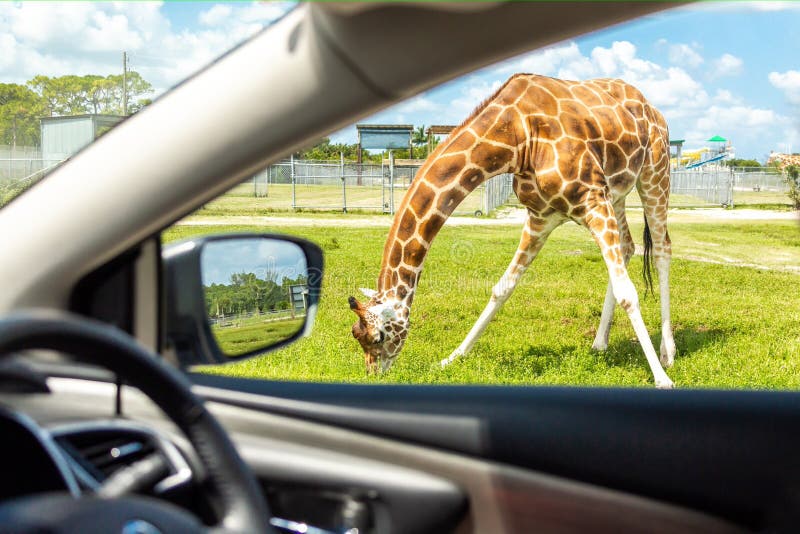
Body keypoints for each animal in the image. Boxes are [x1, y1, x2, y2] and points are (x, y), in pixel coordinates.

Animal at [349, 74, 676, 388]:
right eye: (356, 334)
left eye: (378, 337)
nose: (374, 373)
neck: (516, 139)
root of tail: (653, 109)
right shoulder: (541, 217)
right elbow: (502, 287)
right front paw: (452, 357)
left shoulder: (592, 201)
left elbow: (628, 293)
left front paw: (662, 379)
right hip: (617, 191)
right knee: (628, 246)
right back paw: (599, 342)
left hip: (655, 172)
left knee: (661, 248)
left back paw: (667, 352)